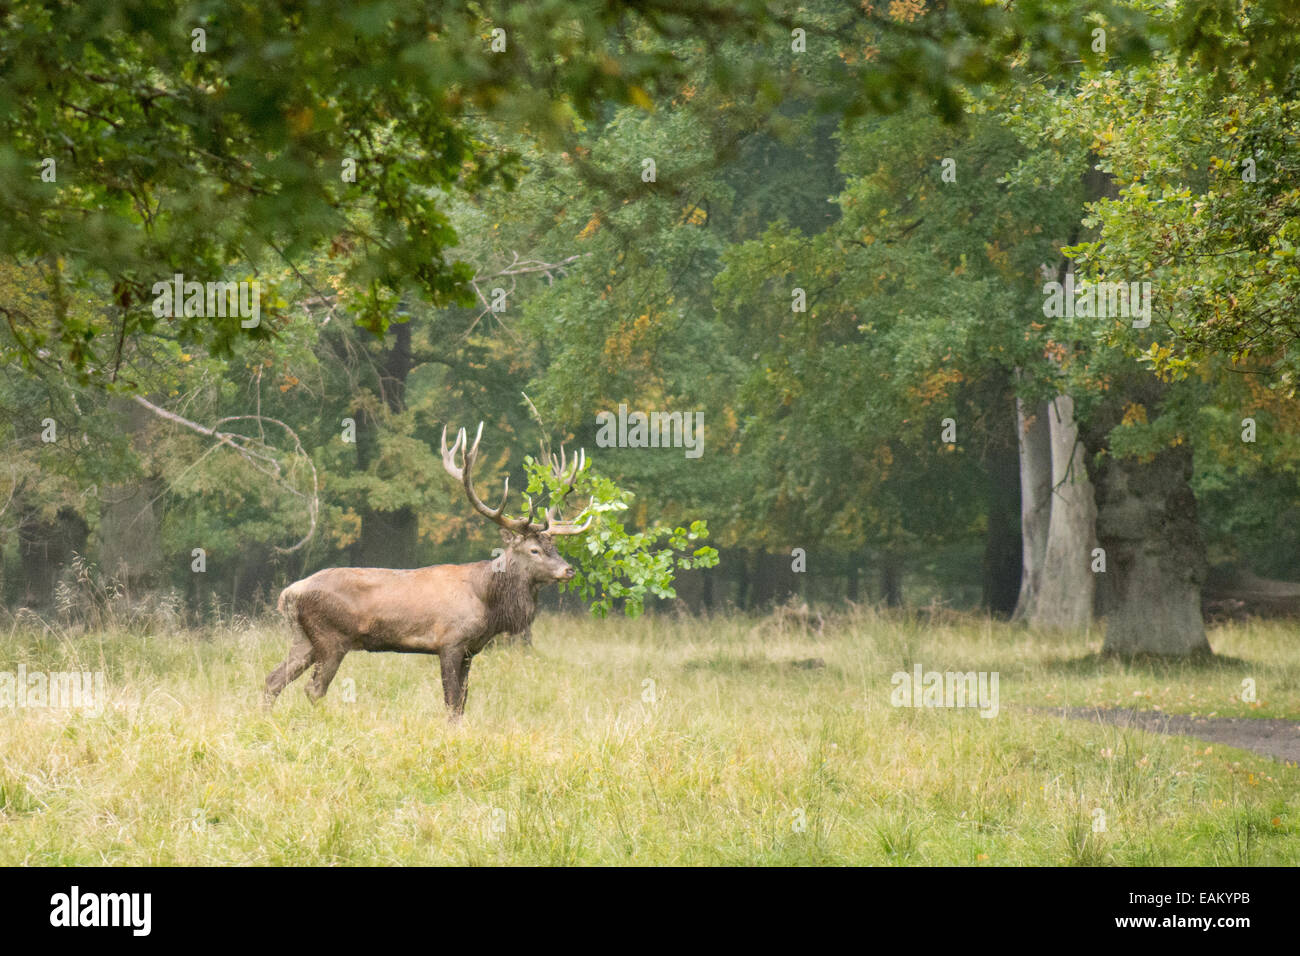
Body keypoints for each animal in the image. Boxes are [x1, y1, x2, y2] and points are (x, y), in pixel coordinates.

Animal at [264, 422, 592, 720]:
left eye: (554, 546)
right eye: (534, 550)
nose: (568, 570)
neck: (487, 603)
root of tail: (288, 594)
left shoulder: (471, 650)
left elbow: (462, 703)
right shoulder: (449, 642)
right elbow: (452, 701)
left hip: (304, 639)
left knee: (273, 679)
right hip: (331, 637)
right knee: (313, 688)